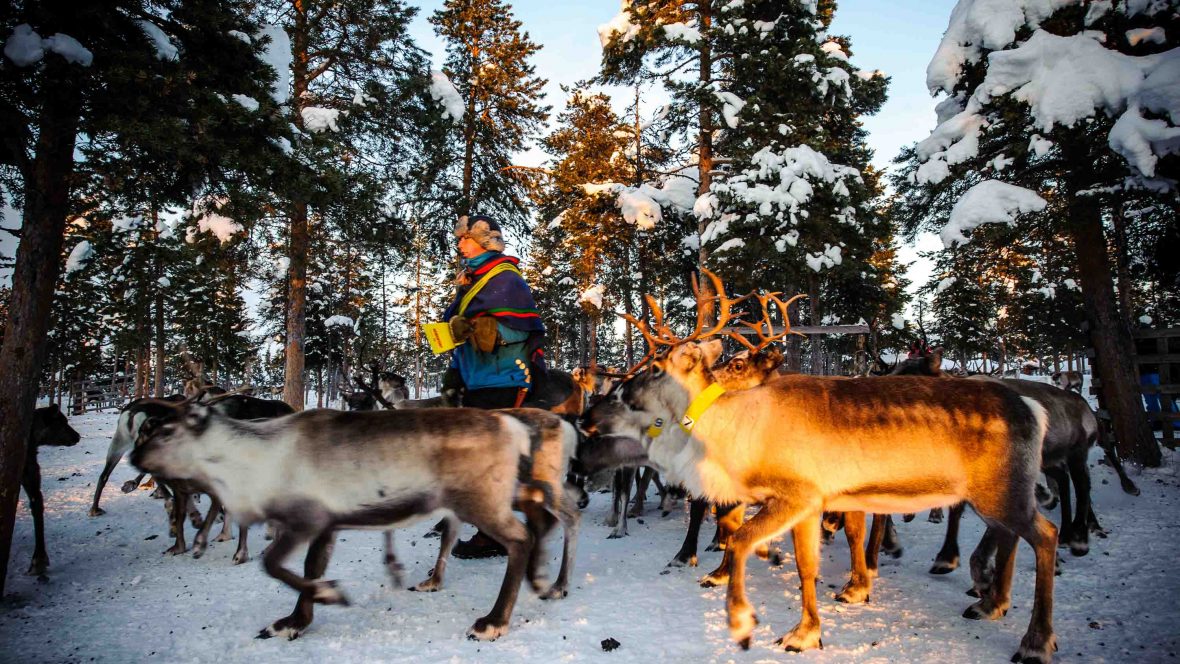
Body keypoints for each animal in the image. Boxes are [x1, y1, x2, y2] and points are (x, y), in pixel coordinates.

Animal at [579, 270, 1057, 663]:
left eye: (656, 367)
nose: (600, 406)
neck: (734, 425)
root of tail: (1033, 407)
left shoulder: (794, 494)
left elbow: (742, 538)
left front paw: (743, 617)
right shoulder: (810, 503)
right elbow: (805, 566)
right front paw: (806, 633)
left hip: (999, 489)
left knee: (1046, 534)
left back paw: (1033, 640)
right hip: (998, 492)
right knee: (1014, 534)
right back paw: (990, 601)